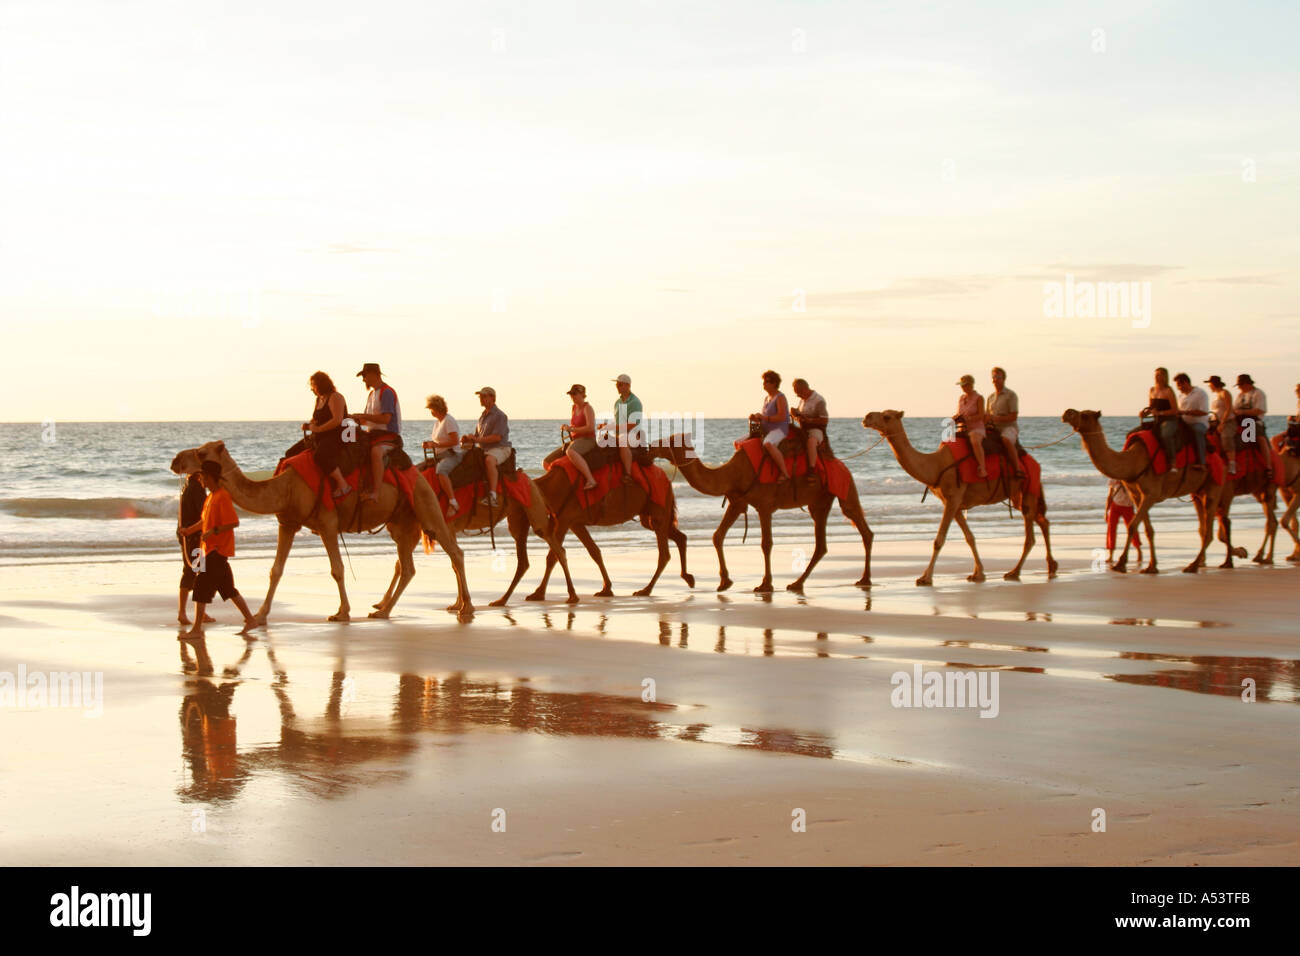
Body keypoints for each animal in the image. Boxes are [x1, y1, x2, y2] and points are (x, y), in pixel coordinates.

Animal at [170, 440, 473, 622]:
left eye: (201, 453)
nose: (175, 460)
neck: (286, 488)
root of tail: (419, 472)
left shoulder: (327, 522)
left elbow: (337, 569)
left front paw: (342, 613)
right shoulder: (288, 523)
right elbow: (276, 570)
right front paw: (260, 614)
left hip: (425, 503)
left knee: (454, 552)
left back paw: (464, 607)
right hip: (400, 522)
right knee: (408, 566)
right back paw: (385, 610)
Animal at [524, 463, 694, 599]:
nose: (538, 529)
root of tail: (667, 481)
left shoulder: (565, 519)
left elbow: (552, 556)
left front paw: (538, 593)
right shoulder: (574, 522)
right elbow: (594, 551)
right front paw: (606, 589)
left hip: (659, 509)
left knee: (664, 553)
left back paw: (646, 590)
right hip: (650, 515)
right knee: (680, 537)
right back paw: (688, 578)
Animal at [649, 434, 873, 593]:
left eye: (669, 441)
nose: (651, 446)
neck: (731, 474)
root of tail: (842, 464)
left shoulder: (765, 505)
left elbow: (766, 544)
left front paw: (765, 584)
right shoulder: (737, 502)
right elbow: (717, 536)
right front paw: (724, 581)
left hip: (844, 486)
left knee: (859, 524)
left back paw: (864, 579)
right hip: (819, 502)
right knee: (822, 544)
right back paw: (797, 583)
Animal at [862, 411, 1056, 585]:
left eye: (887, 416)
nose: (867, 417)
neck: (936, 465)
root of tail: (1034, 463)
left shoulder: (953, 497)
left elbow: (939, 540)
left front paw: (925, 577)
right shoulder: (952, 502)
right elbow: (969, 537)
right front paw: (978, 573)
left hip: (1028, 489)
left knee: (1030, 535)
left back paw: (1014, 572)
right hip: (1018, 495)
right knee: (1043, 521)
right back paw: (1051, 566)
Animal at [1061, 409, 1226, 573]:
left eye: (1085, 415)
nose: (1066, 413)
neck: (1133, 462)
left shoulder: (1151, 494)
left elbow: (1132, 525)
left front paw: (1120, 563)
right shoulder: (1137, 495)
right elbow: (1148, 530)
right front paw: (1152, 566)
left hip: (1214, 486)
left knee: (1208, 530)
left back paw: (1194, 565)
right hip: (1198, 491)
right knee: (1203, 527)